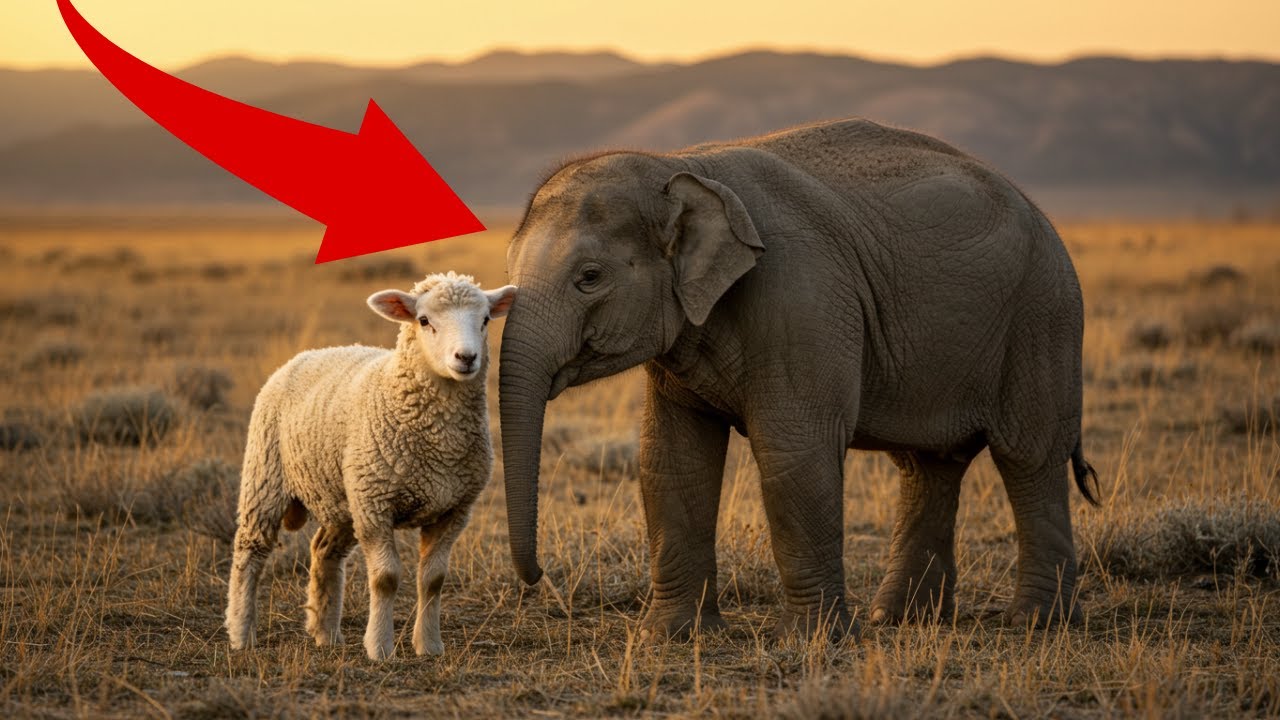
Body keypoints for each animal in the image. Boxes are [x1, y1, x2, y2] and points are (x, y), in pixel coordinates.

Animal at [225, 272, 517, 660]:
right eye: (424, 320)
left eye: (485, 320)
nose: (466, 357)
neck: (439, 442)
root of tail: (312, 352)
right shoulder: (376, 505)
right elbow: (386, 578)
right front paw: (379, 647)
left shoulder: (453, 509)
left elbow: (433, 579)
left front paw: (429, 645)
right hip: (267, 476)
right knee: (250, 550)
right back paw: (241, 633)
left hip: (344, 499)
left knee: (324, 552)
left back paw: (325, 632)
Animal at [498, 118, 1098, 639]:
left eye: (589, 278)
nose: (538, 578)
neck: (677, 166)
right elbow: (671, 459)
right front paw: (669, 636)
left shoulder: (801, 299)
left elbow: (795, 454)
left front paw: (812, 639)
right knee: (928, 465)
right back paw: (899, 620)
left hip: (1043, 319)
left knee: (1029, 458)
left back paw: (1036, 623)